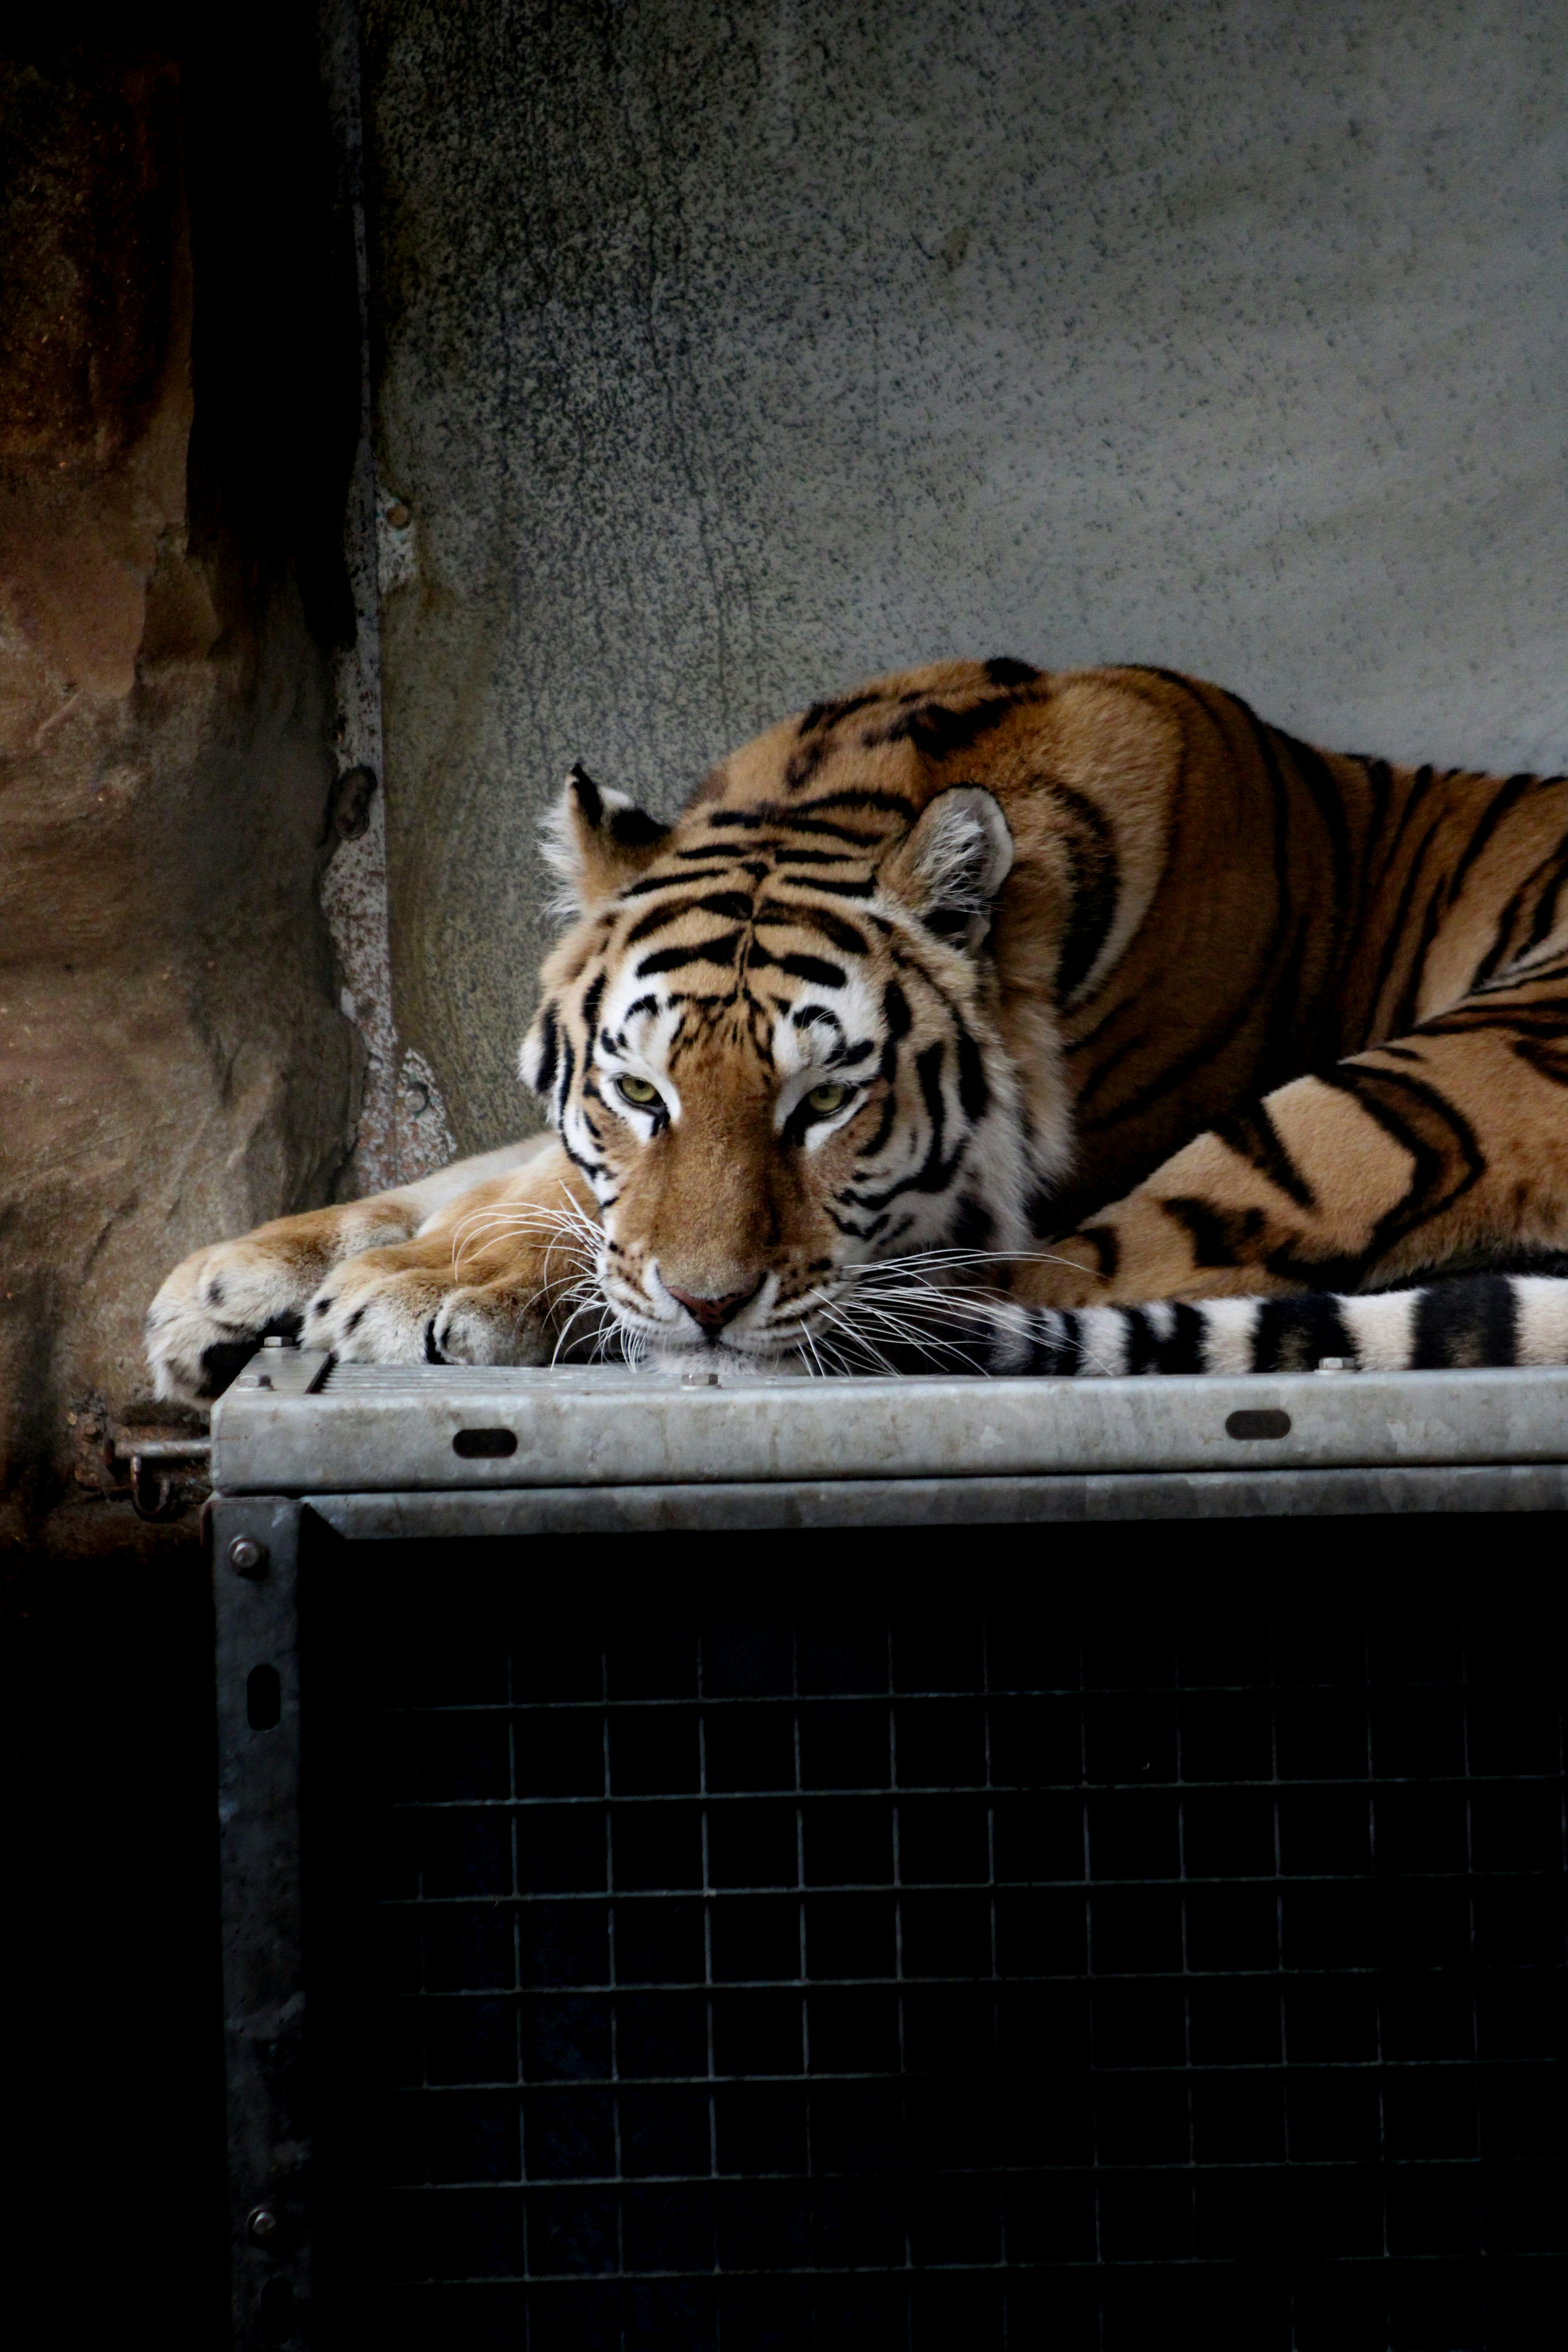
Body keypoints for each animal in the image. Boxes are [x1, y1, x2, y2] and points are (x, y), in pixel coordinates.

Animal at [146, 659, 1568, 1401]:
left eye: (826, 1102)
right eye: (640, 1095)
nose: (710, 1309)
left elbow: (550, 1213)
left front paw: (425, 1292)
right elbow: (502, 1170)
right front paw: (222, 1288)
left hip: (1372, 1105)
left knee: (1058, 1294)